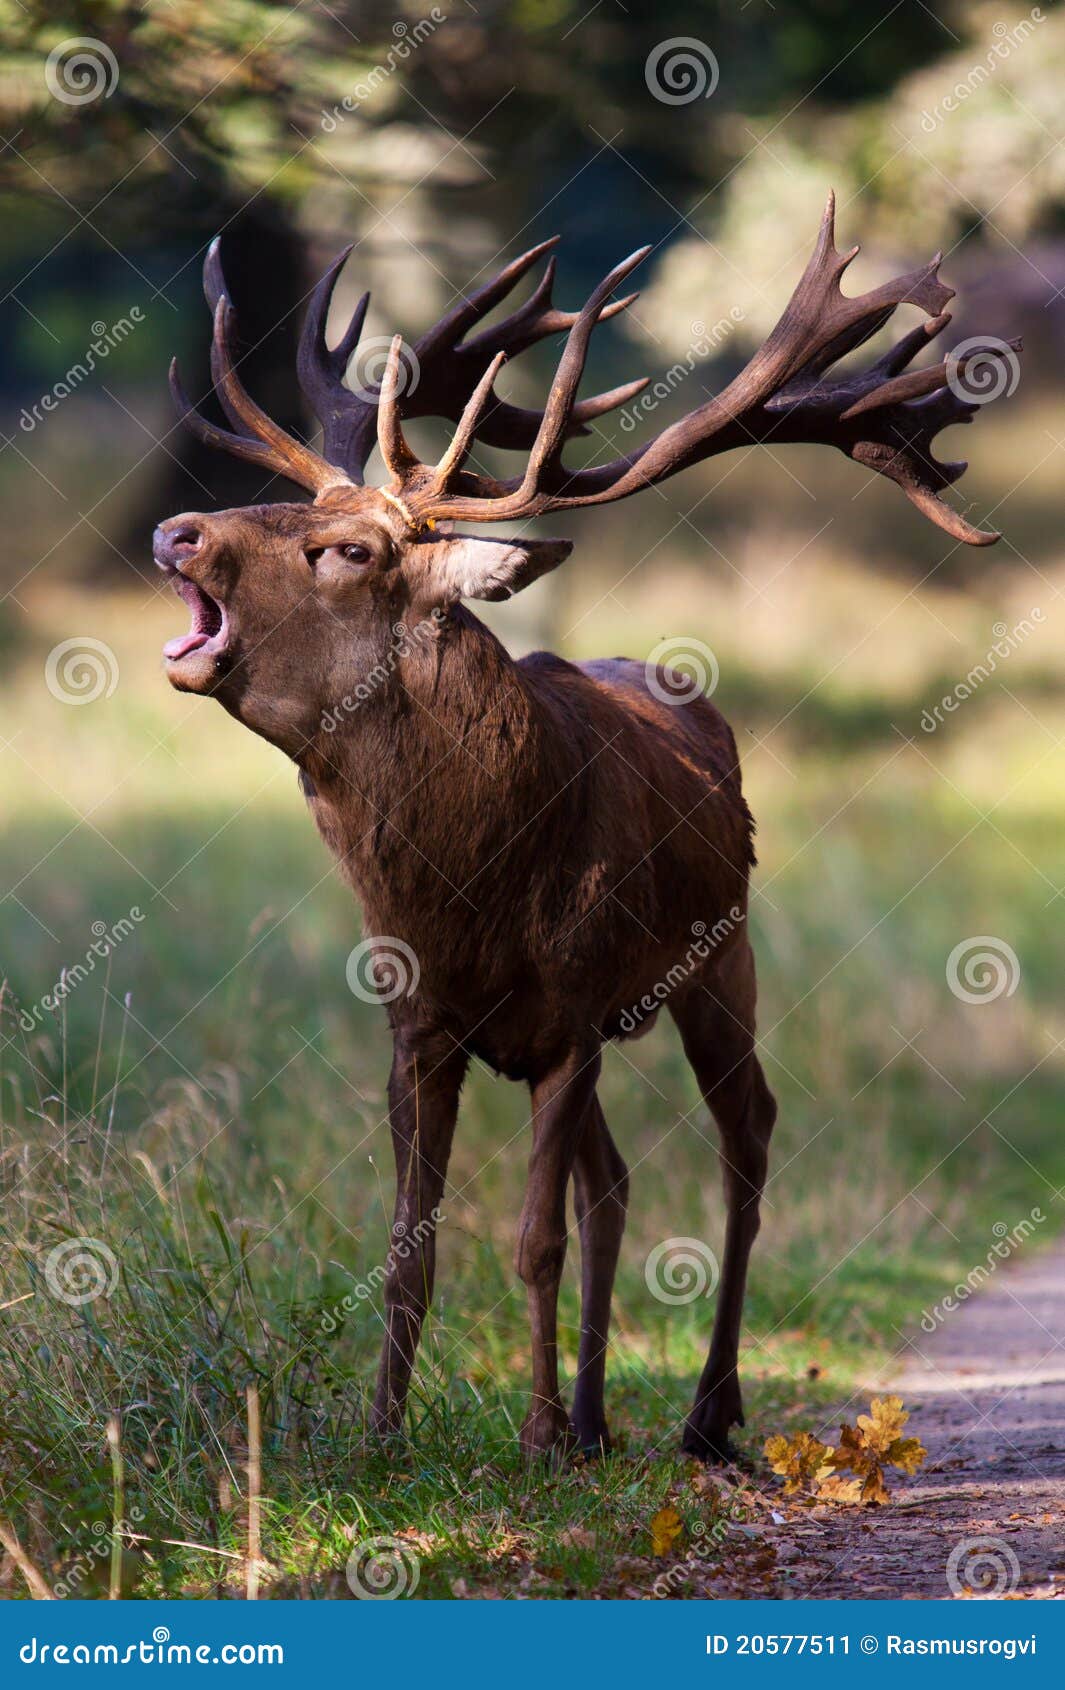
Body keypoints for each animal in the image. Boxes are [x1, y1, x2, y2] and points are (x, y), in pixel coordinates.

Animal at [154, 194, 1016, 1462]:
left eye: (348, 548)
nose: (178, 532)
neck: (467, 894)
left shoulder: (568, 1021)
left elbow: (533, 1239)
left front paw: (533, 1438)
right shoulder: (421, 1024)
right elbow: (411, 1245)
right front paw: (386, 1437)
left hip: (722, 956)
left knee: (747, 1136)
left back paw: (704, 1412)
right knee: (613, 1180)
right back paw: (604, 1419)